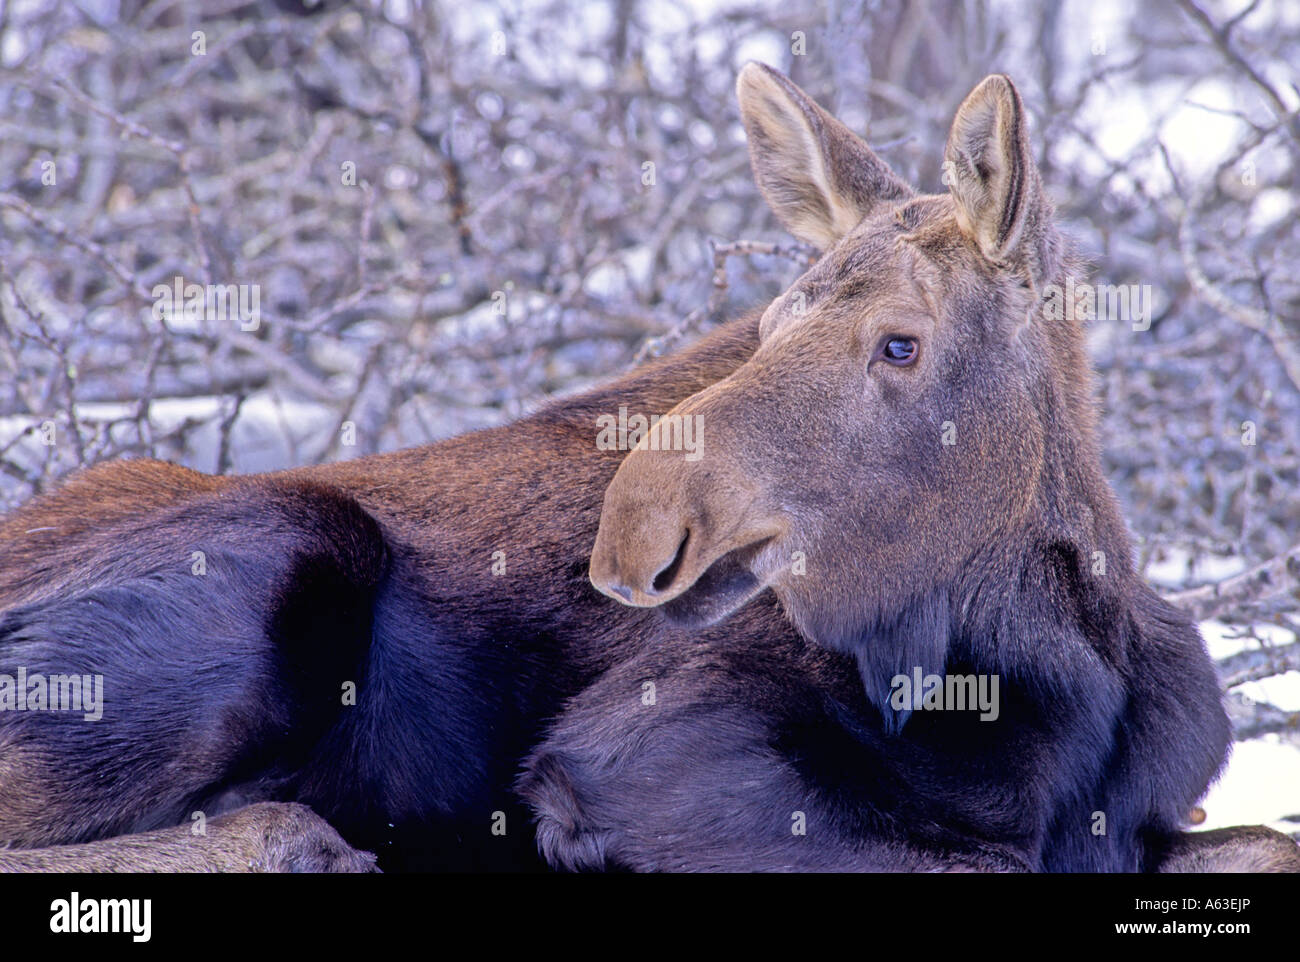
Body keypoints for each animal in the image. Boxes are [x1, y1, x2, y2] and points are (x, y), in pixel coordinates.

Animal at [0, 63, 1295, 873]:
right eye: (767, 323)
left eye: (900, 341)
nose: (637, 529)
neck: (1058, 667)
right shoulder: (632, 757)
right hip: (284, 552)